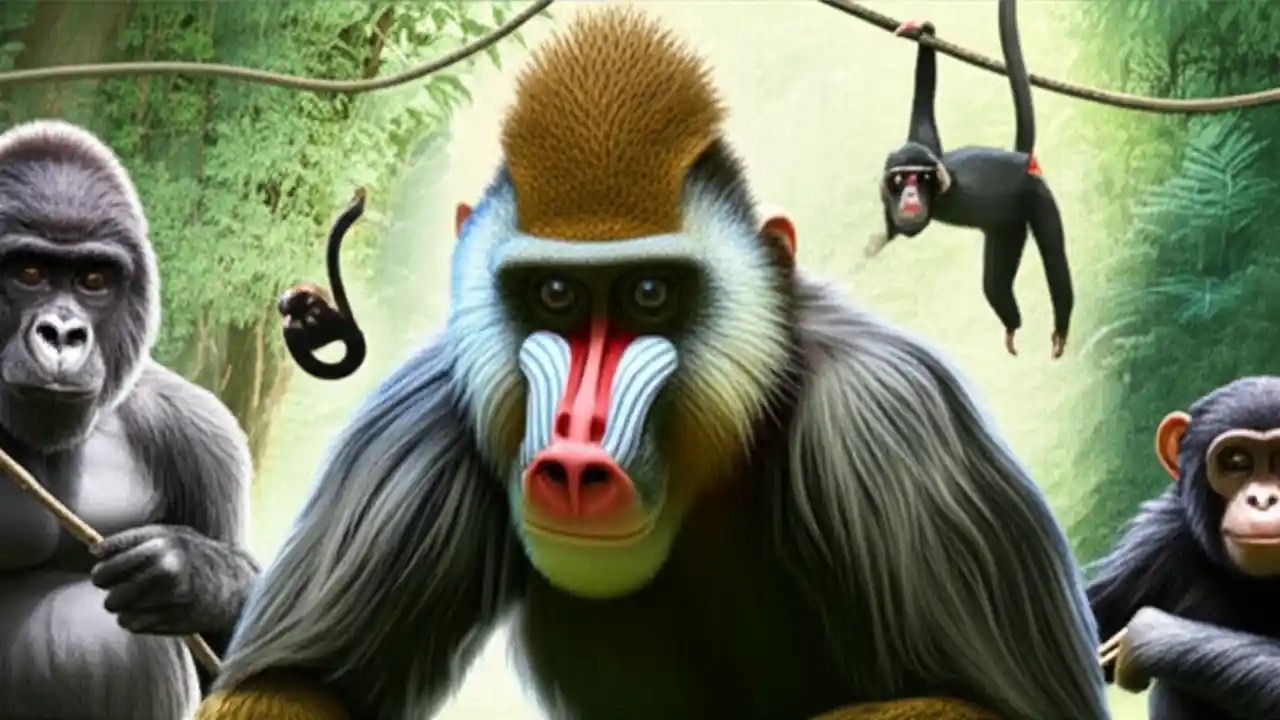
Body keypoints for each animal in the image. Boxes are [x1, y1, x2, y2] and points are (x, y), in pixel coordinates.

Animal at [868, 0, 1074, 360]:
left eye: (918, 178)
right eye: (900, 178)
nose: (910, 193)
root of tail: (1024, 159)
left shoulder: (933, 172)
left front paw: (924, 30)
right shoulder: (917, 160)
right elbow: (923, 125)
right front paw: (924, 32)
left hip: (1038, 197)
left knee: (1055, 261)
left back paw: (1060, 325)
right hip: (1007, 227)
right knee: (994, 283)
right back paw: (1012, 324)